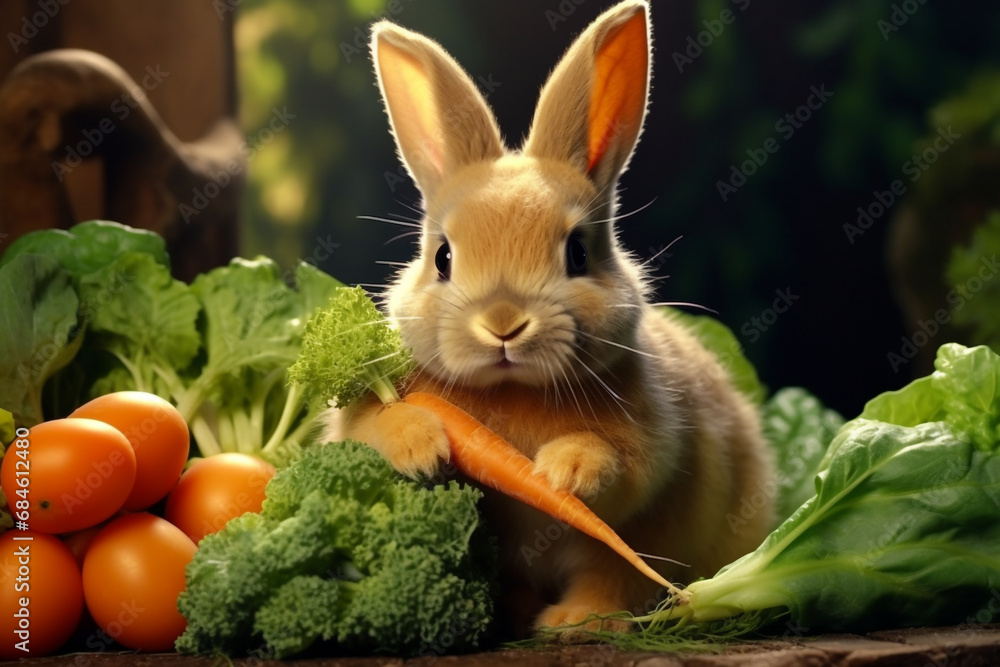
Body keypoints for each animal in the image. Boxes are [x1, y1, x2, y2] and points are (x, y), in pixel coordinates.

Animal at [323, 0, 775, 635]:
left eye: (578, 253)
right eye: (442, 257)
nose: (504, 322)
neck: (512, 390)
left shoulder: (654, 445)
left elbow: (623, 471)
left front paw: (565, 470)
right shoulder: (364, 415)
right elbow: (372, 431)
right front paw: (423, 448)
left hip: (639, 547)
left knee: (617, 576)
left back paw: (575, 621)